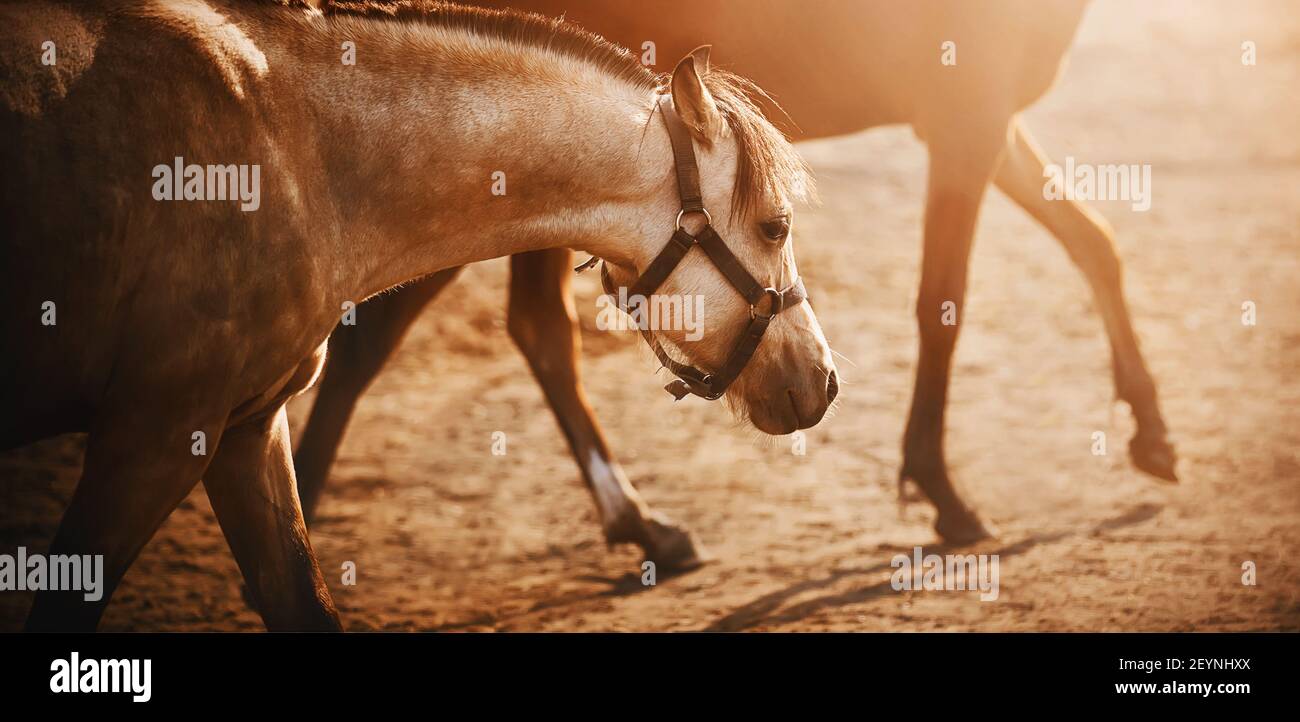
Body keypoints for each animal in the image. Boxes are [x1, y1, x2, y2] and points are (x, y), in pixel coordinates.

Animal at [0, 0, 836, 630]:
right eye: (775, 226)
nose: (825, 381)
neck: (292, 152)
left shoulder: (243, 432)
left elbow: (305, 602)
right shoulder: (153, 440)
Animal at [295, 0, 1177, 549]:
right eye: (776, 226)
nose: (818, 388)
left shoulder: (987, 123)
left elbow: (1096, 243)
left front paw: (1152, 431)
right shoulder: (967, 120)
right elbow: (942, 304)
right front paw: (941, 493)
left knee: (535, 330)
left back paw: (638, 525)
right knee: (387, 340)